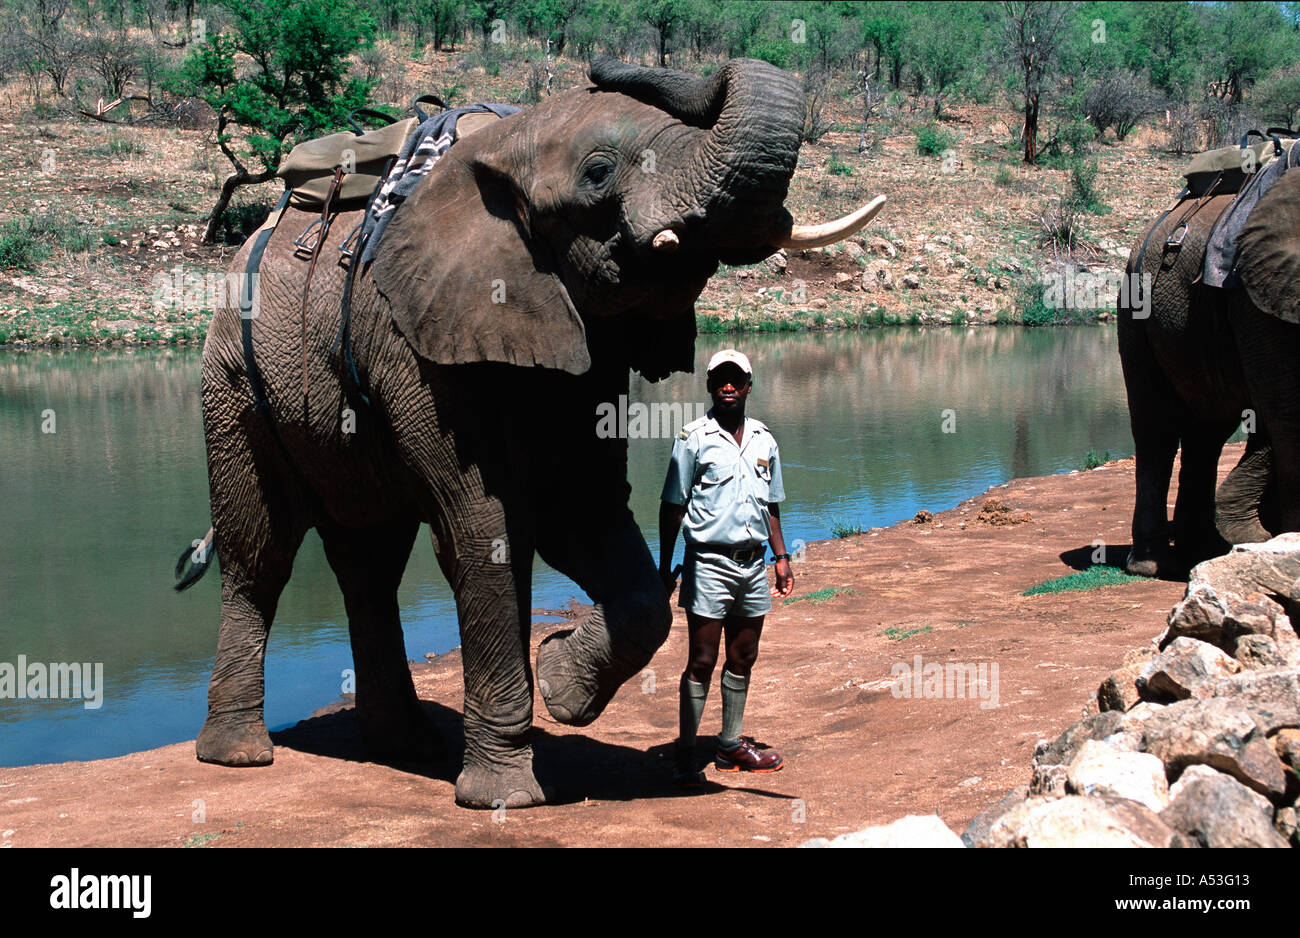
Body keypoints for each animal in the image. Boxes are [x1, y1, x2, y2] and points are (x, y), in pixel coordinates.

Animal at [182, 55, 884, 808]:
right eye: (599, 173)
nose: (610, 63)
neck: (504, 145)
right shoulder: (418, 346)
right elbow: (483, 529)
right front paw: (504, 797)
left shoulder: (590, 353)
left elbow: (585, 516)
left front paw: (560, 687)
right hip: (231, 378)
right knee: (260, 550)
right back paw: (240, 755)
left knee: (368, 560)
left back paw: (405, 746)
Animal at [1118, 168, 1300, 578]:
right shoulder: (1258, 295)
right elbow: (1286, 410)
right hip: (1134, 302)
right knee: (1158, 430)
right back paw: (1153, 564)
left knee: (1206, 433)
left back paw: (1203, 551)